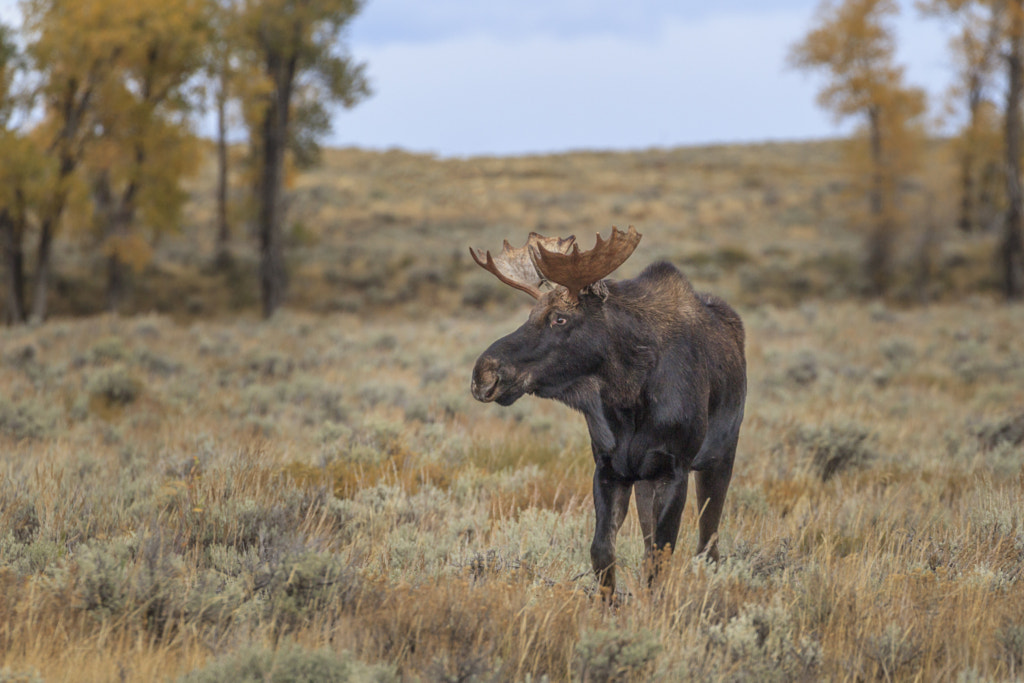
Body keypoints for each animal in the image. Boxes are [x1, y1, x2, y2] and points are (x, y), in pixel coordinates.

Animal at [469, 226, 746, 596]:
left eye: (560, 318)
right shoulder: (609, 468)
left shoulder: (674, 469)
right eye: (529, 315)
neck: (629, 396)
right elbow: (602, 552)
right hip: (645, 480)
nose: (483, 374)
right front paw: (610, 603)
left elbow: (661, 555)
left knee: (708, 545)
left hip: (720, 457)